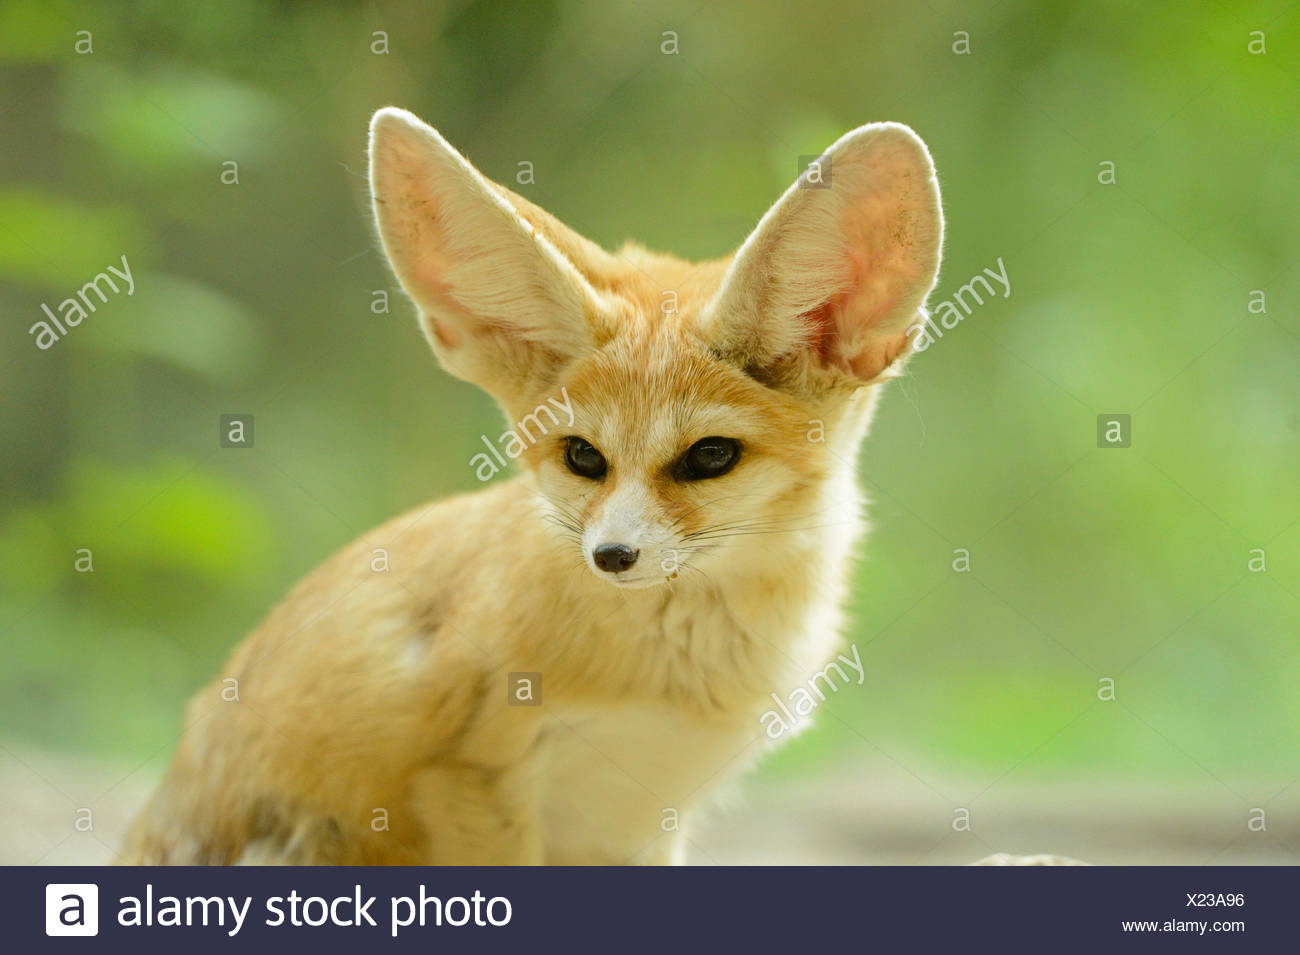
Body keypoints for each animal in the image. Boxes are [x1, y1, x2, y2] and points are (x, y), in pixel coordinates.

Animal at [120, 106, 944, 865]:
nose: (611, 556)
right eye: (583, 456)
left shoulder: (646, 825)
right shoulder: (474, 775)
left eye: (710, 456)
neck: (676, 674)